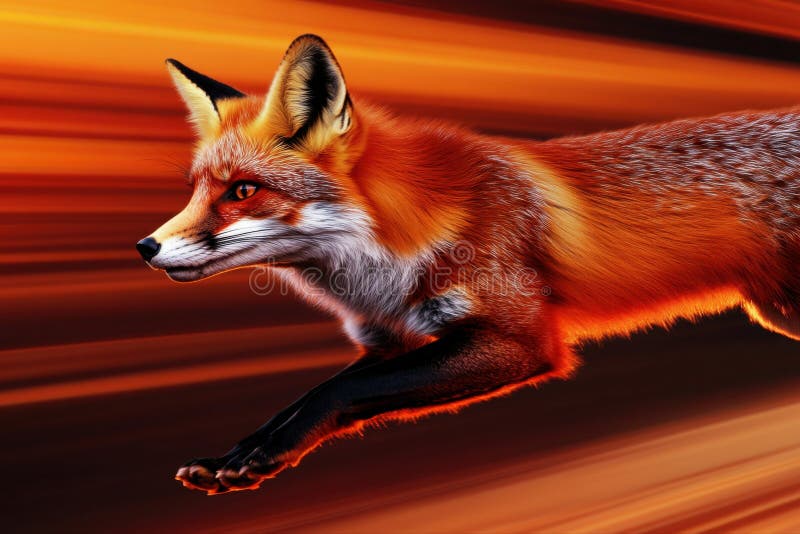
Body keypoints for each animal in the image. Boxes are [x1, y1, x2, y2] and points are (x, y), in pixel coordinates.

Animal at [137, 34, 800, 495]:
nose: (145, 247)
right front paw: (240, 454)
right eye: (197, 188)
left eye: (243, 191)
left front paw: (261, 457)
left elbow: (341, 389)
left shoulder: (519, 339)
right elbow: (310, 394)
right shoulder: (393, 338)